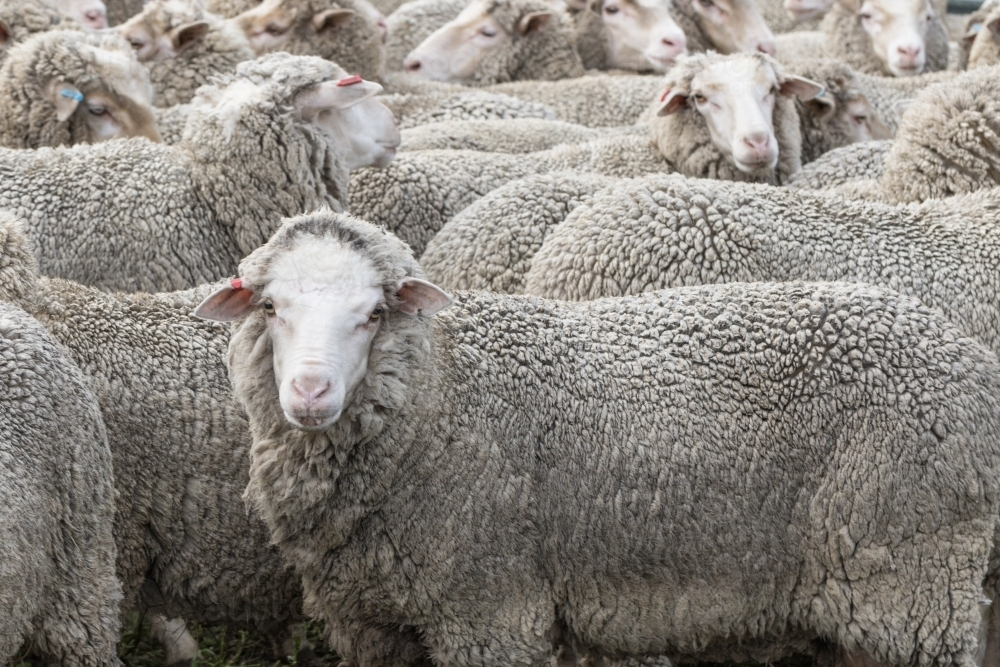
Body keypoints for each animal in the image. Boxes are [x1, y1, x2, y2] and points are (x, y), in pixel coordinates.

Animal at [197, 207, 1000, 667]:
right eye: (269, 307)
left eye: (372, 314)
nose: (310, 394)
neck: (440, 395)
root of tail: (968, 361)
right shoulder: (371, 624)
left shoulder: (488, 612)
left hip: (913, 582)